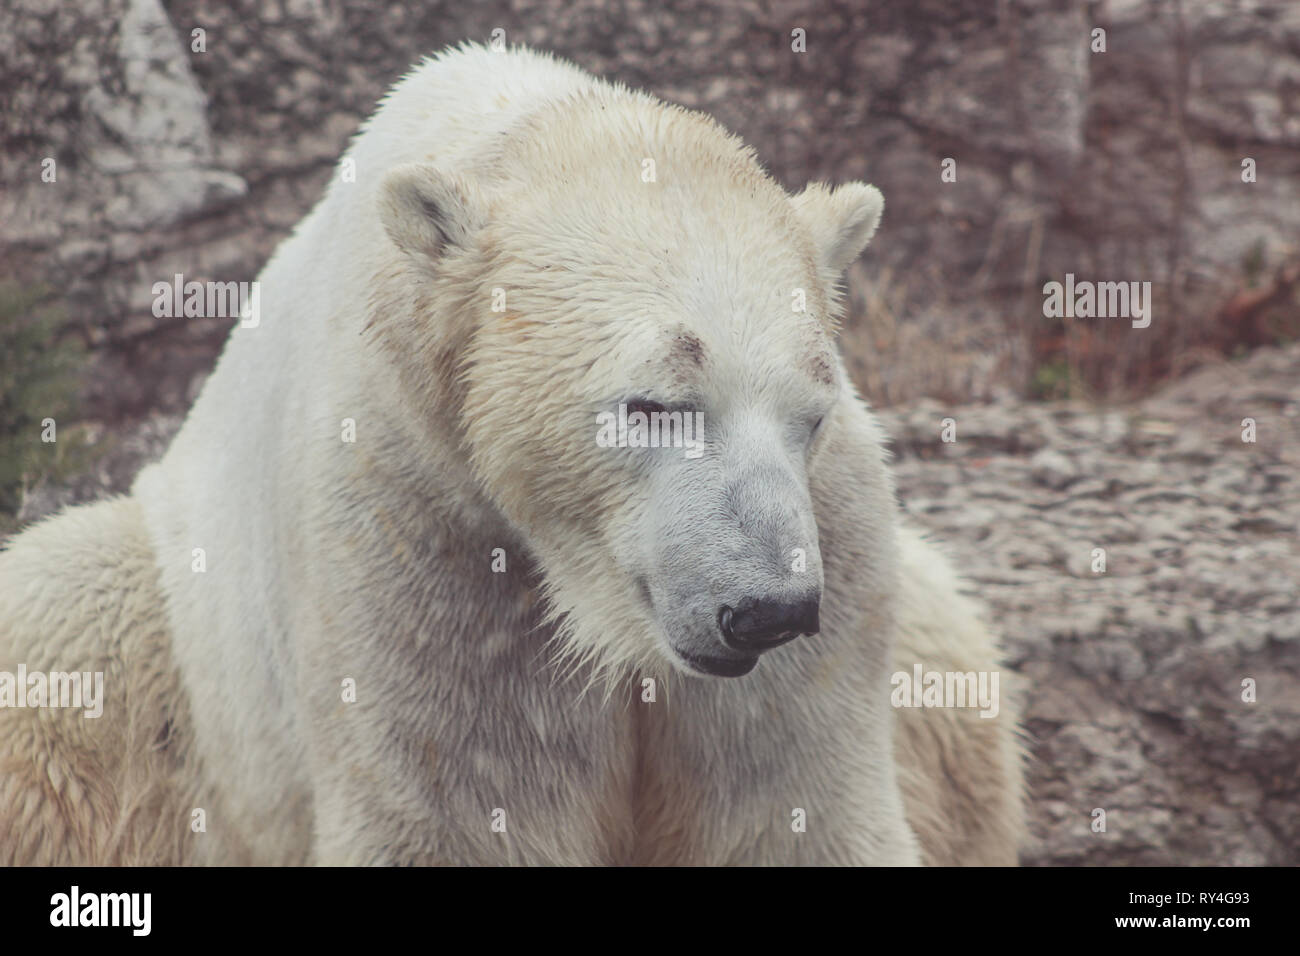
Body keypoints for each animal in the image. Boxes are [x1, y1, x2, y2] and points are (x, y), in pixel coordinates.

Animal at [0, 43, 1024, 865]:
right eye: (653, 407)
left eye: (811, 412)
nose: (767, 611)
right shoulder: (424, 537)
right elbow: (458, 809)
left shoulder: (836, 556)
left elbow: (792, 809)